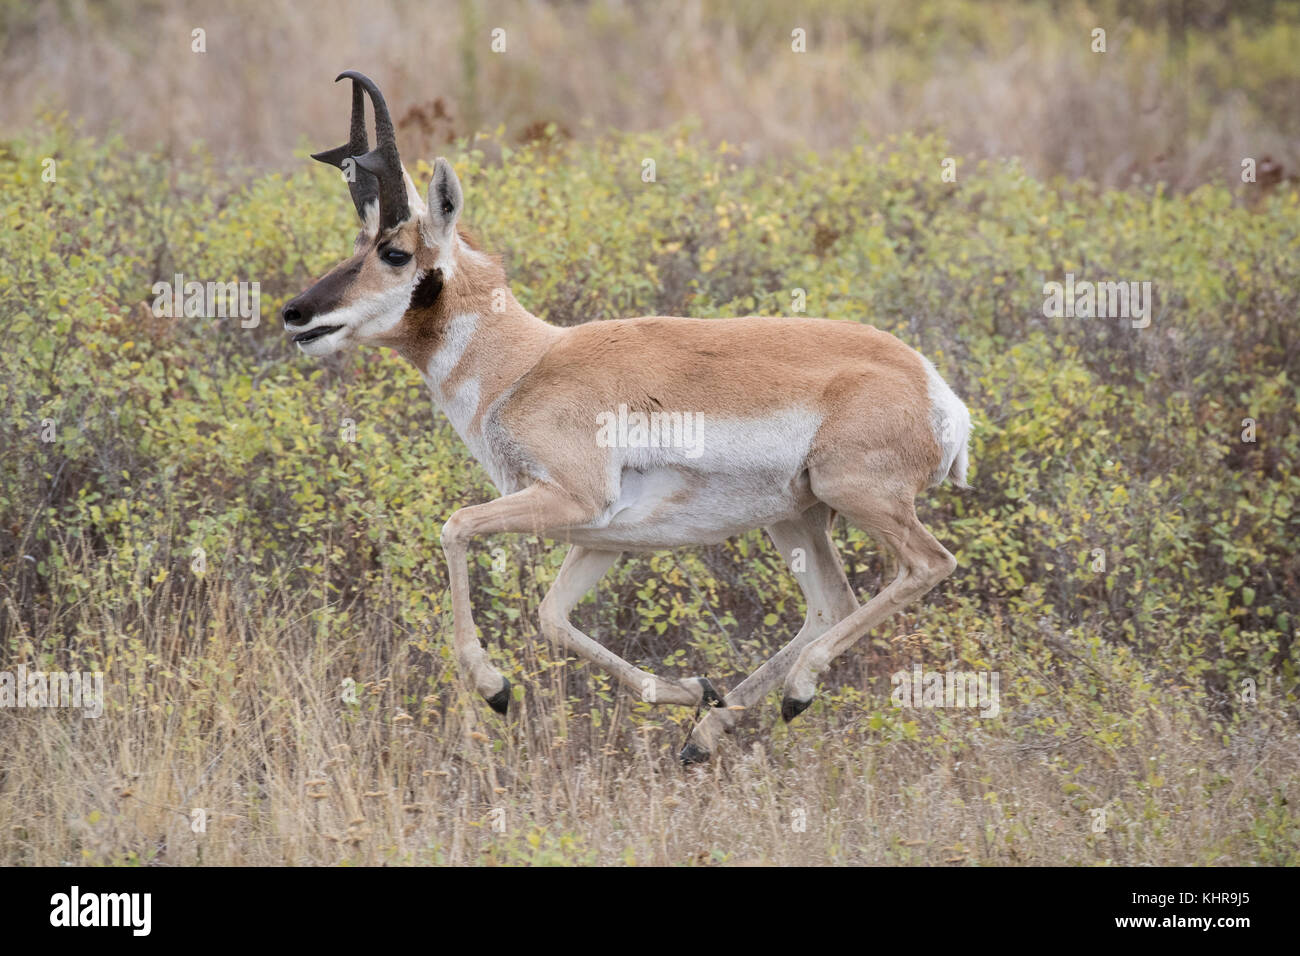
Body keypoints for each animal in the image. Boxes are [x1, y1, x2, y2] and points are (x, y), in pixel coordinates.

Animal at [283, 72, 972, 764]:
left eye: (396, 252)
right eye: (359, 242)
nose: (294, 312)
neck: (527, 363)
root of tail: (931, 386)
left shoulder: (571, 500)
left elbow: (455, 527)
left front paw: (495, 690)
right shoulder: (600, 536)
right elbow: (552, 617)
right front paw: (692, 689)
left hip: (853, 496)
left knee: (930, 564)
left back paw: (795, 692)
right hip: (796, 519)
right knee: (831, 604)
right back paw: (711, 730)